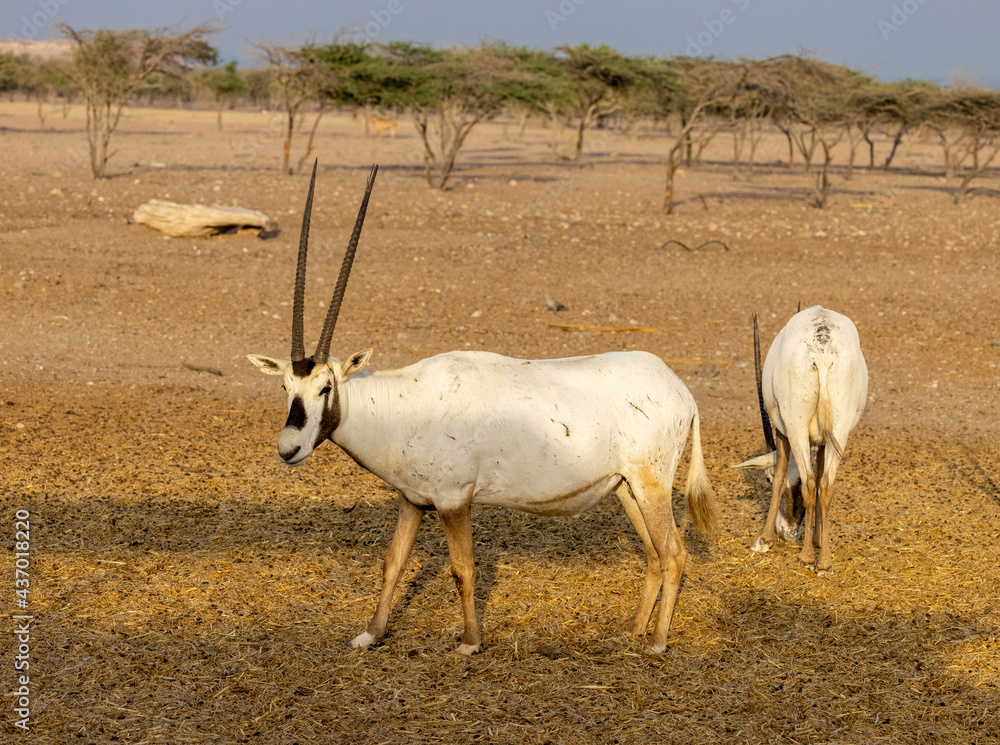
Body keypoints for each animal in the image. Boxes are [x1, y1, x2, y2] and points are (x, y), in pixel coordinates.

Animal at [248, 162, 720, 655]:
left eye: (325, 387)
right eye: (285, 385)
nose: (288, 448)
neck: (401, 405)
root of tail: (681, 390)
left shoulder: (454, 500)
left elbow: (463, 569)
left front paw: (470, 642)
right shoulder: (413, 500)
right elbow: (393, 562)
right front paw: (370, 634)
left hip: (651, 485)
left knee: (674, 552)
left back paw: (658, 641)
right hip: (628, 488)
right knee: (653, 553)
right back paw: (633, 630)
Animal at [736, 306, 867, 573]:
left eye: (766, 477)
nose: (788, 532)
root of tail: (822, 354)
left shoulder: (781, 429)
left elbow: (783, 476)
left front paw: (763, 540)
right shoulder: (825, 440)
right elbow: (819, 476)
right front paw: (817, 538)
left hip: (795, 424)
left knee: (808, 482)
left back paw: (806, 558)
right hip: (840, 429)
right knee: (825, 484)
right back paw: (824, 562)